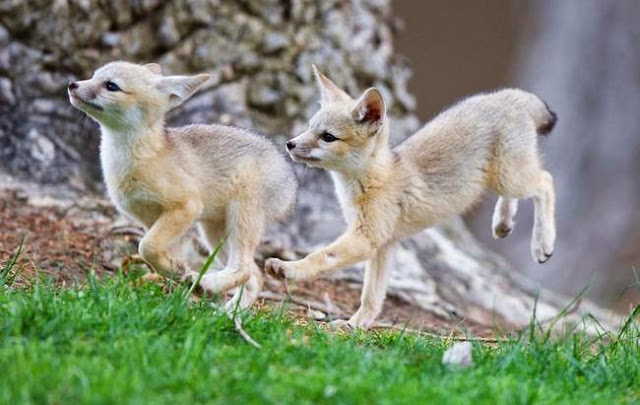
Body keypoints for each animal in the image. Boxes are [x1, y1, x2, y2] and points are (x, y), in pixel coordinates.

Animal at [68, 61, 297, 310]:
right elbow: (159, 254)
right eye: (93, 76)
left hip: (239, 222)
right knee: (254, 276)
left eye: (111, 86)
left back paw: (207, 285)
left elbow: (145, 247)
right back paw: (226, 313)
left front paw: (178, 273)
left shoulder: (185, 206)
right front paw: (174, 274)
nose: (72, 84)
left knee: (244, 269)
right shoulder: (152, 220)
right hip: (214, 234)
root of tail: (288, 170)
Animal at [265, 65, 557, 329]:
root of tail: (508, 95)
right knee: (520, 192)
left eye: (327, 137)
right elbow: (371, 297)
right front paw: (355, 324)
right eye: (308, 127)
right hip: (505, 180)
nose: (289, 144)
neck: (375, 180)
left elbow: (322, 256)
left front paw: (289, 268)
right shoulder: (385, 246)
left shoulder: (366, 239)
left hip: (511, 178)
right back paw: (503, 222)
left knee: (546, 181)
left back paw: (543, 243)